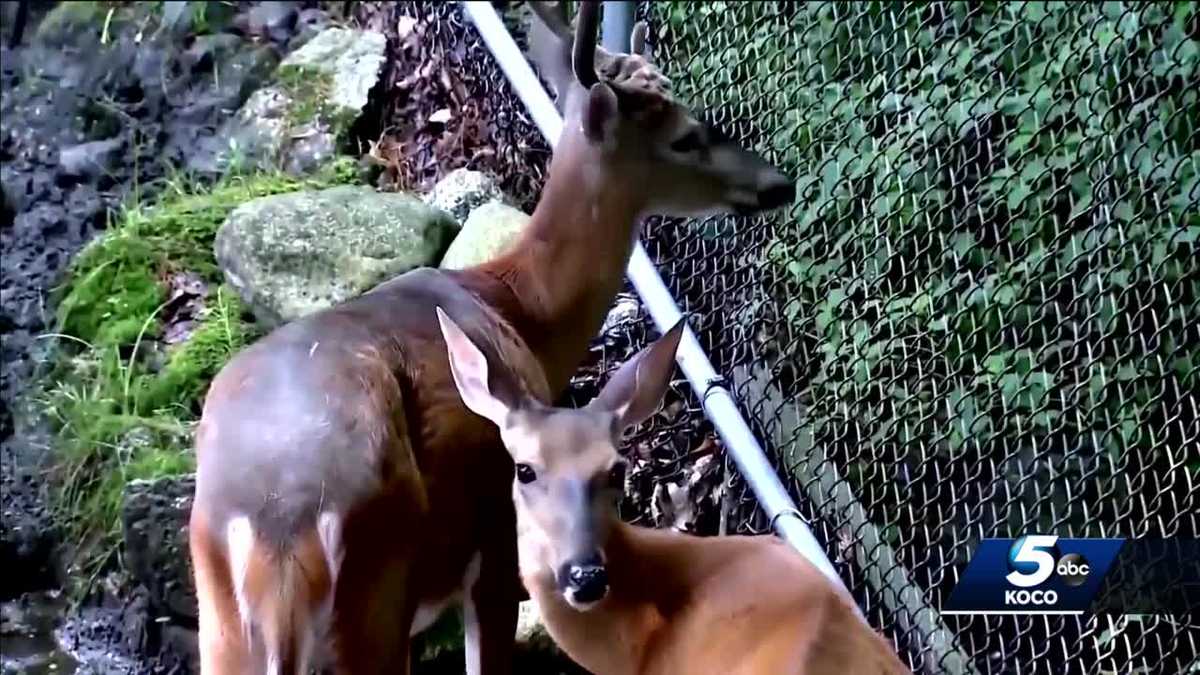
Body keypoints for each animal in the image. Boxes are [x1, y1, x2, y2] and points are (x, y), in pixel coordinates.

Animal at [187, 2, 796, 673]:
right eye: (686, 134)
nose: (780, 182)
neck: (519, 308)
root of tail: (278, 535)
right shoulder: (502, 549)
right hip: (372, 603)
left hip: (222, 628)